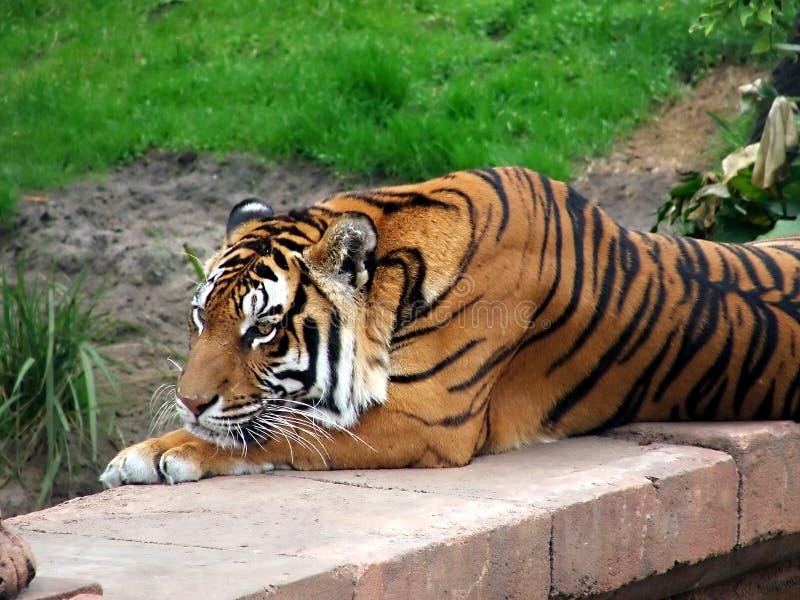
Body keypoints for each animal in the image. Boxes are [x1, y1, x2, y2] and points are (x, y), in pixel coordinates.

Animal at [100, 167, 800, 487]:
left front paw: (155, 453)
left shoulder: (431, 417)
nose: (189, 402)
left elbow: (279, 432)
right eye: (200, 317)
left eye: (264, 329)